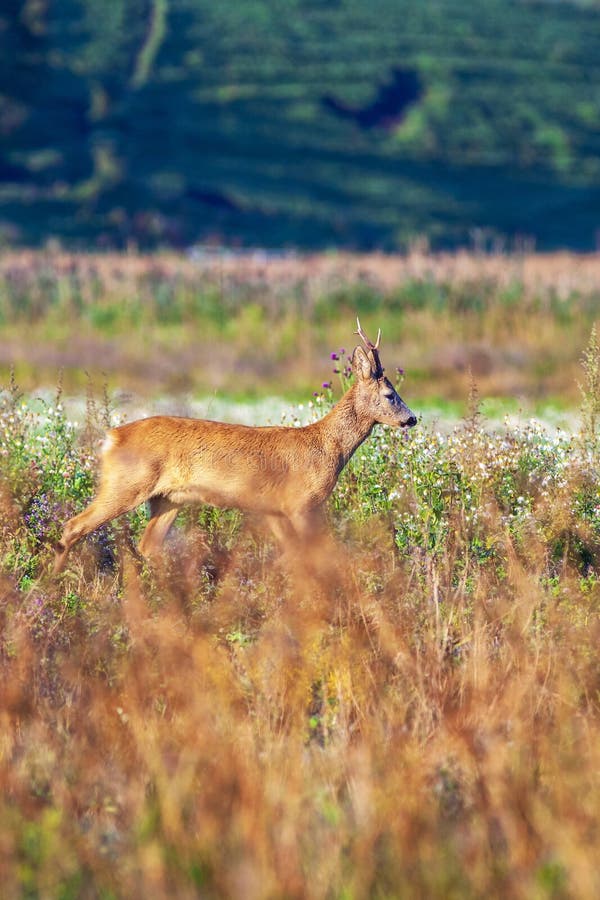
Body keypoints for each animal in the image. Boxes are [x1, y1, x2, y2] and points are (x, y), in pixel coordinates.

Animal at [53, 320, 416, 575]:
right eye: (390, 395)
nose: (412, 418)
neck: (327, 447)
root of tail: (111, 437)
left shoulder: (274, 510)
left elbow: (293, 556)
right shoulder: (301, 503)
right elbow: (317, 554)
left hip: (168, 498)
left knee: (148, 545)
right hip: (126, 483)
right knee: (73, 526)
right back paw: (53, 582)